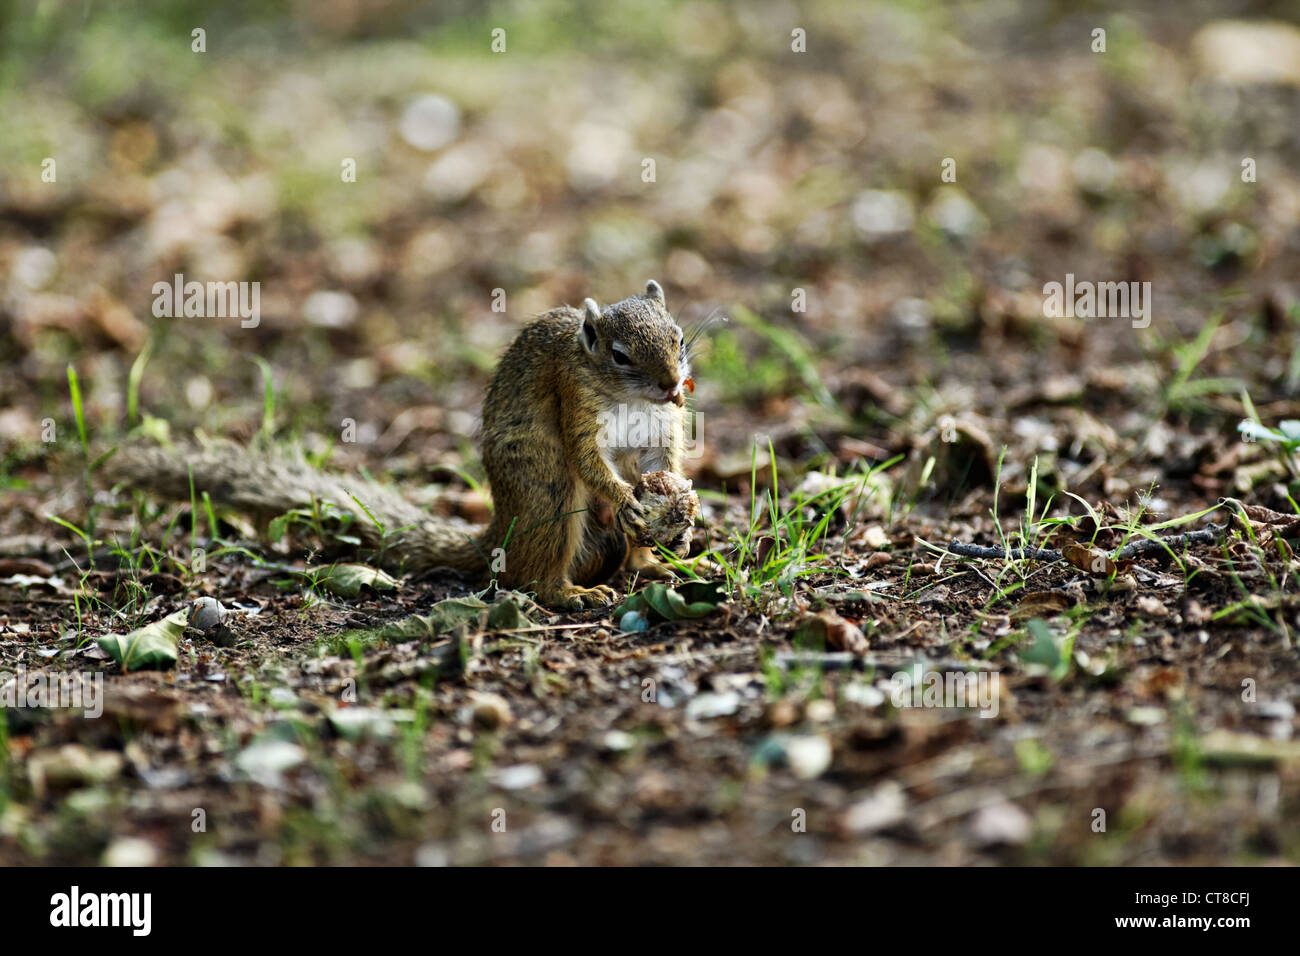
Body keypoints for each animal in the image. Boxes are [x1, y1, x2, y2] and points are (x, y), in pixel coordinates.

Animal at [106, 280, 696, 610]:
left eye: (678, 338)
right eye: (620, 355)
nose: (672, 386)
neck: (629, 396)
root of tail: (497, 531)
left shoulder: (660, 428)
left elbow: (661, 461)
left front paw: (681, 507)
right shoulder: (574, 403)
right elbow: (590, 462)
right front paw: (627, 499)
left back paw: (656, 564)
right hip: (548, 496)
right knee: (534, 574)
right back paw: (572, 594)